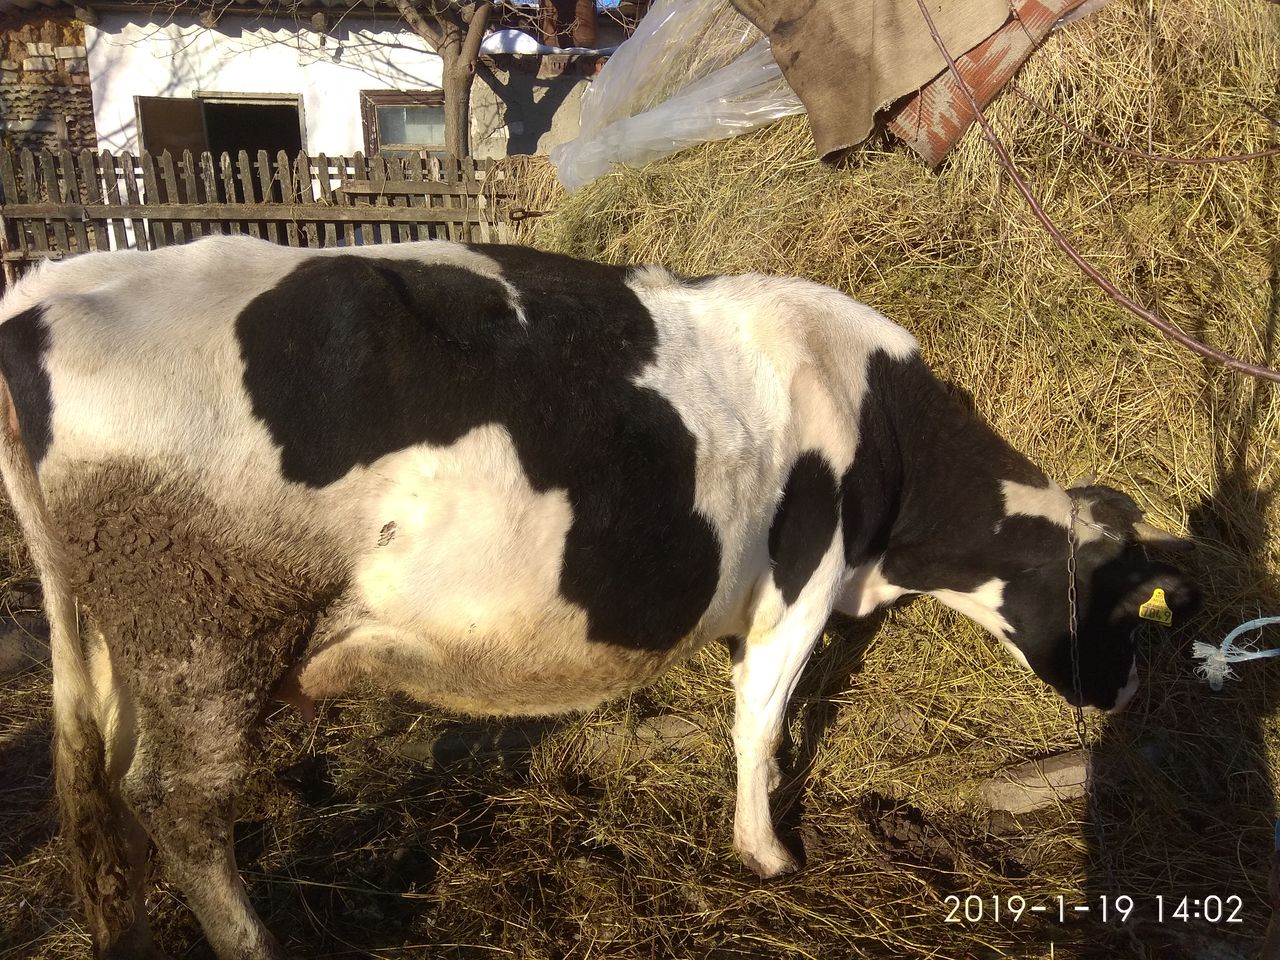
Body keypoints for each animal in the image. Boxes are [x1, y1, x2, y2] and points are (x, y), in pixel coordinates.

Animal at [0, 236, 1196, 959]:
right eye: (1125, 607)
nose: (1132, 697)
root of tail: (49, 287)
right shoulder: (803, 581)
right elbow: (759, 720)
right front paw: (765, 850)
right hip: (206, 626)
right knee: (178, 803)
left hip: (114, 635)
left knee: (103, 792)